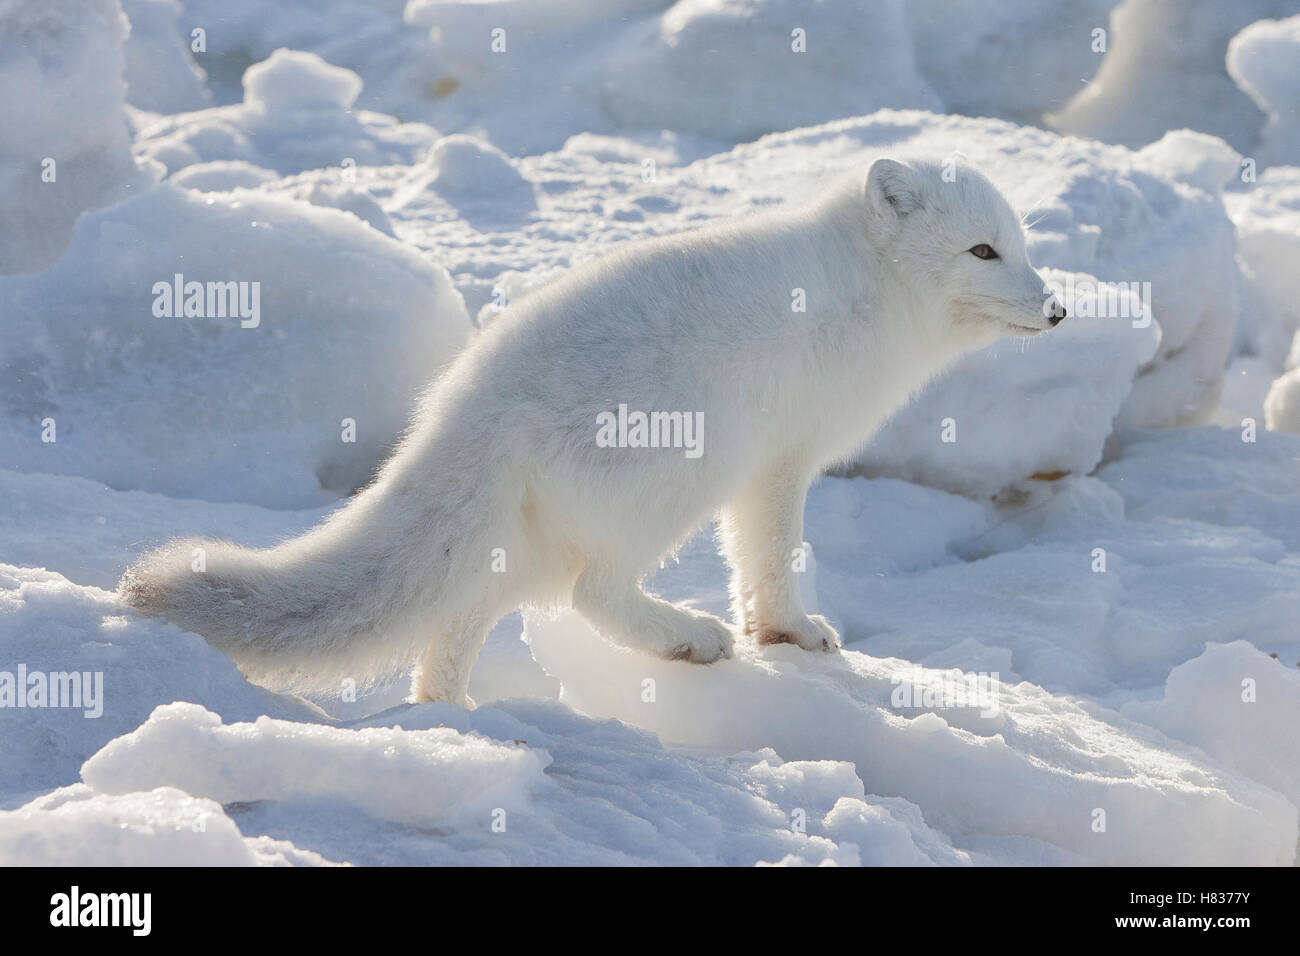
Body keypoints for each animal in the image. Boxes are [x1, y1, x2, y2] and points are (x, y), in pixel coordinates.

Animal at [119, 157, 1065, 709]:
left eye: (1019, 247)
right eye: (982, 252)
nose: (1058, 309)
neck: (863, 288)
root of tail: (470, 397)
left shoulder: (773, 466)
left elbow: (757, 560)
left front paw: (779, 636)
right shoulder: (778, 462)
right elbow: (771, 557)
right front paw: (784, 633)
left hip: (524, 535)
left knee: (460, 620)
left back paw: (449, 721)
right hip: (686, 468)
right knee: (591, 596)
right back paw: (689, 638)